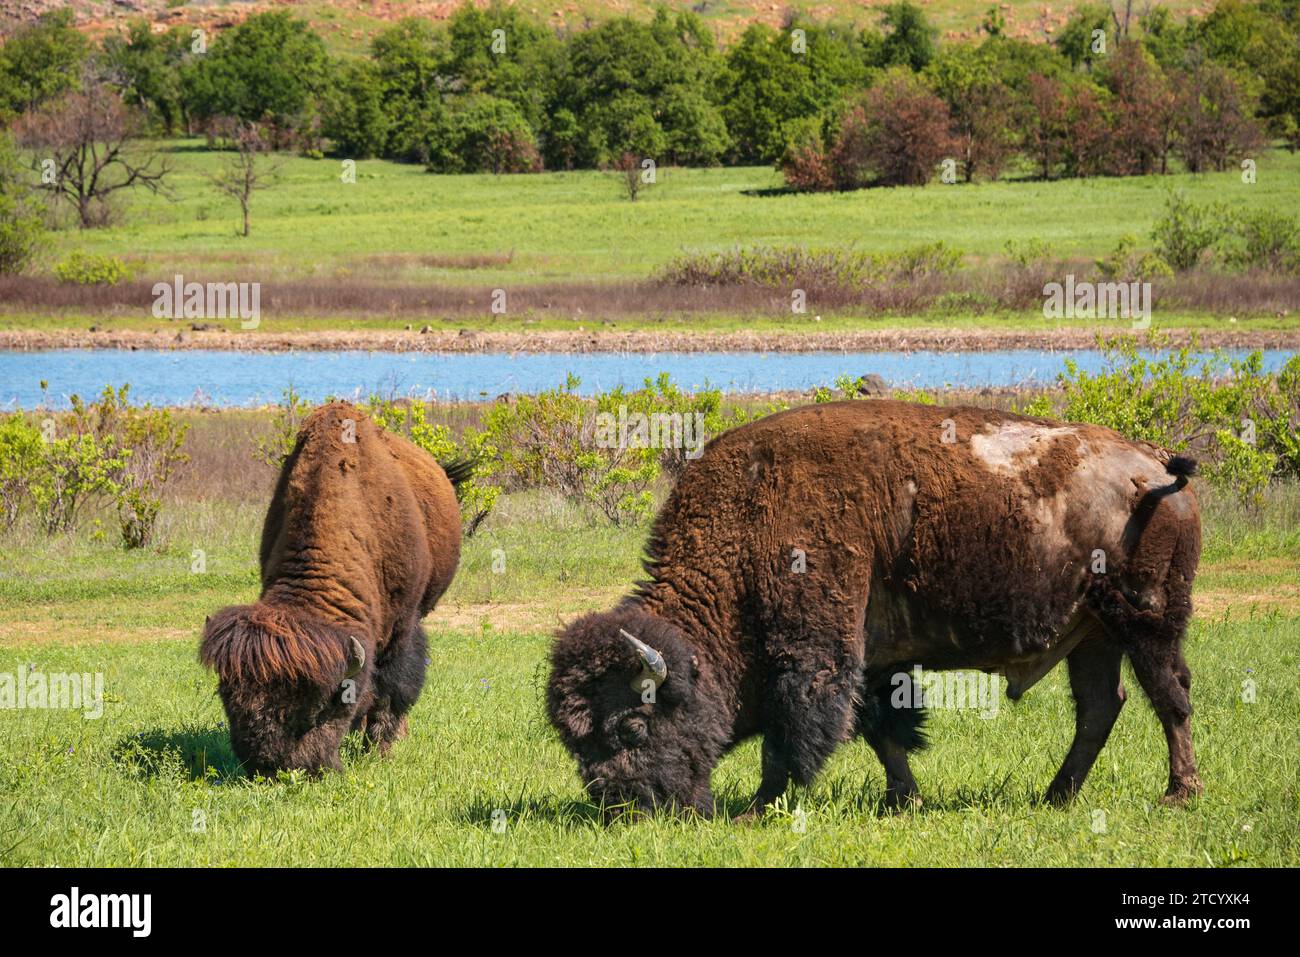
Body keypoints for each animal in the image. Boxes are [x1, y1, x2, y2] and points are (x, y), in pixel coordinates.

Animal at [201, 401, 464, 775]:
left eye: (318, 709)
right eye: (226, 698)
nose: (272, 767)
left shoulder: (403, 627)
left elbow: (392, 689)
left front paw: (381, 750)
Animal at [547, 400, 1202, 816]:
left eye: (633, 725)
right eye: (574, 742)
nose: (619, 806)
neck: (750, 518)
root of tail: (1156, 464)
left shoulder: (814, 652)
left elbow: (795, 731)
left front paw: (756, 809)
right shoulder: (876, 660)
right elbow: (881, 728)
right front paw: (902, 800)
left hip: (1146, 620)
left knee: (1169, 695)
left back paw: (1178, 793)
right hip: (1092, 634)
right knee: (1101, 707)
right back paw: (1056, 796)